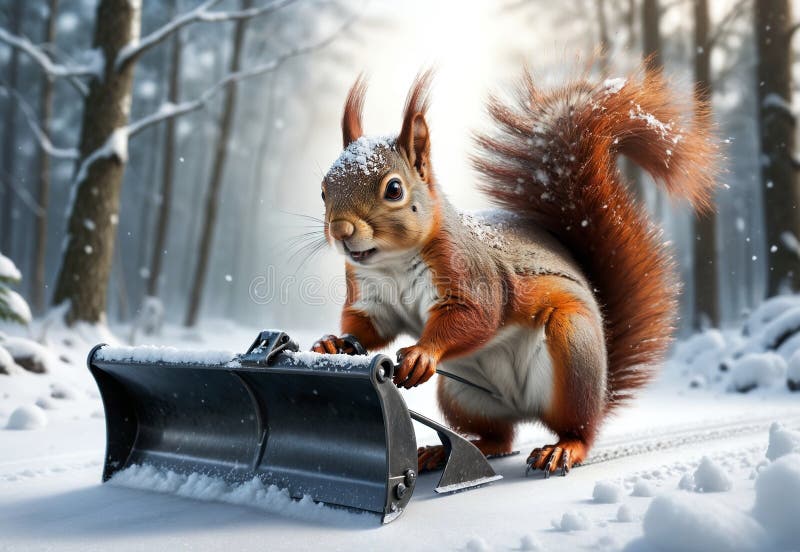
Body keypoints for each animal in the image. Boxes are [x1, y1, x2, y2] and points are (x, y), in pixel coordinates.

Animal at [312, 68, 717, 476]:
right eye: (324, 190)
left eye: (394, 189)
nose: (341, 230)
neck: (392, 263)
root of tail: (524, 407)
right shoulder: (369, 296)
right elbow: (370, 325)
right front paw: (335, 343)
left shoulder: (467, 269)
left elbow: (477, 315)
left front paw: (422, 354)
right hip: (463, 395)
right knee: (498, 438)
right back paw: (445, 451)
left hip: (572, 348)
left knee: (578, 427)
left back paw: (562, 449)